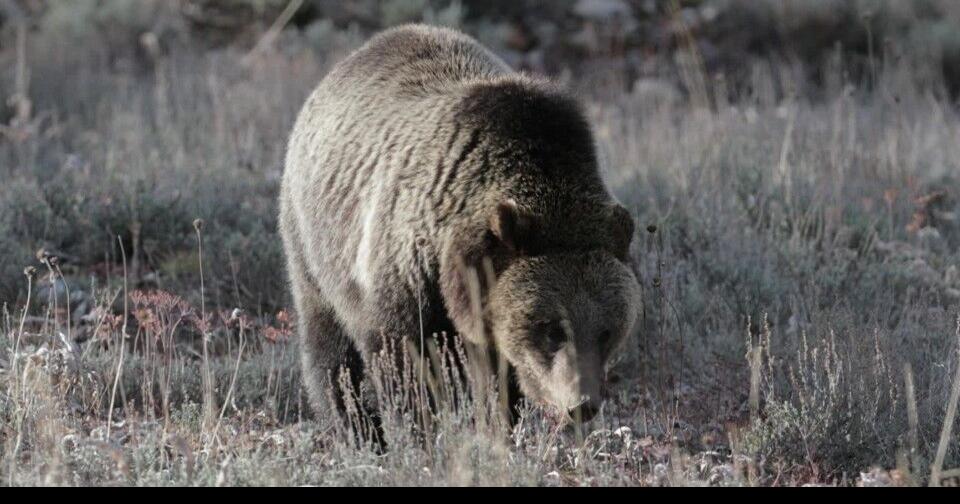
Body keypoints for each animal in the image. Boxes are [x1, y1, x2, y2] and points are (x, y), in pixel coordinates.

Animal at [279, 24, 640, 429]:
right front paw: (413, 426)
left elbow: (498, 381)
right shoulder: (404, 273)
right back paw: (351, 422)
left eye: (607, 330)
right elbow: (400, 360)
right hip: (313, 239)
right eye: (550, 328)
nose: (581, 404)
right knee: (326, 340)